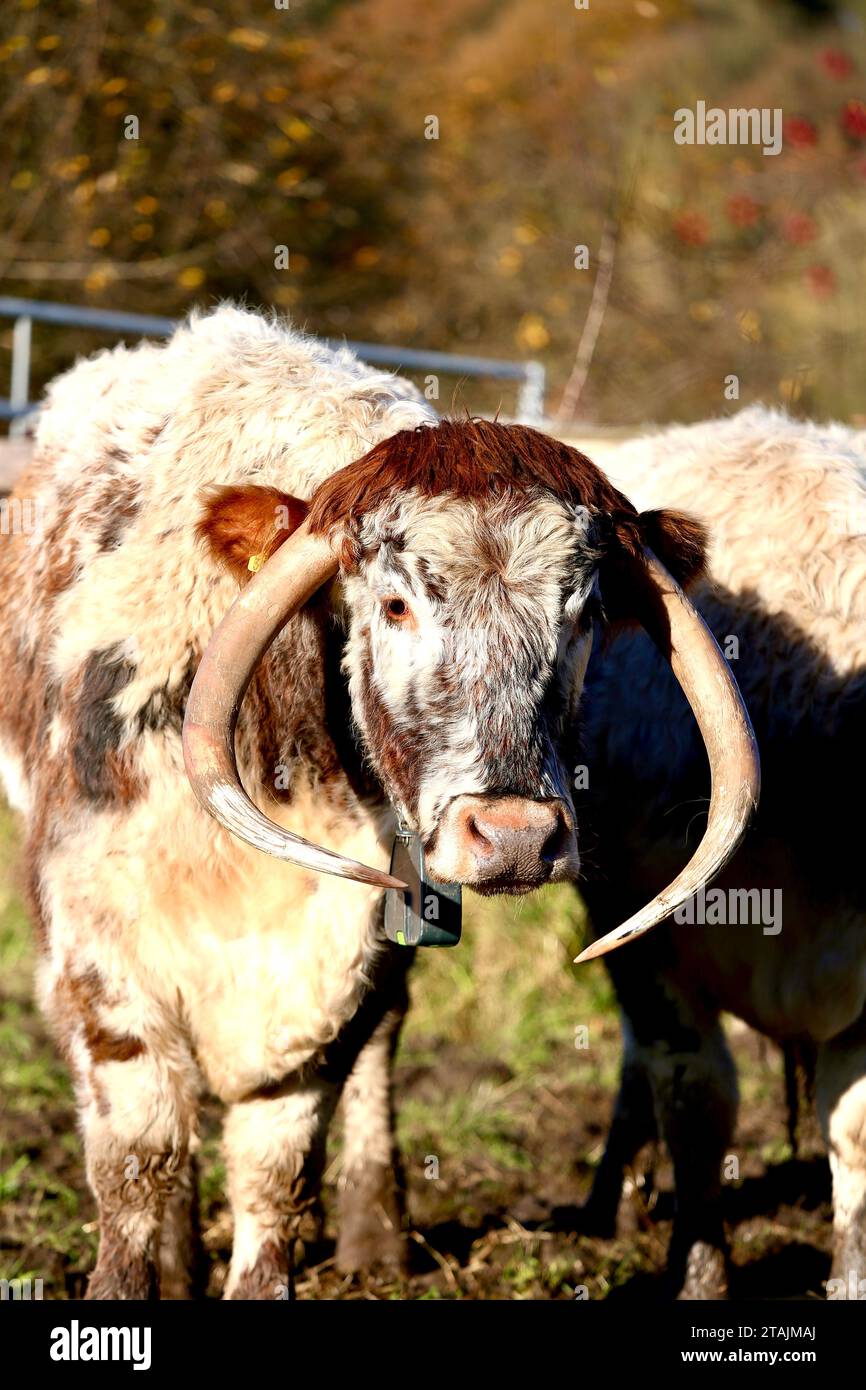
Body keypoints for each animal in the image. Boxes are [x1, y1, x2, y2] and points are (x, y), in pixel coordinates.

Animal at [0, 305, 755, 1299]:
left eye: (584, 613)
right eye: (394, 604)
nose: (516, 838)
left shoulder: (336, 963)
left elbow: (275, 1170)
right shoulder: (101, 956)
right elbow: (138, 1161)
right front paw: (145, 1269)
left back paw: (374, 1233)